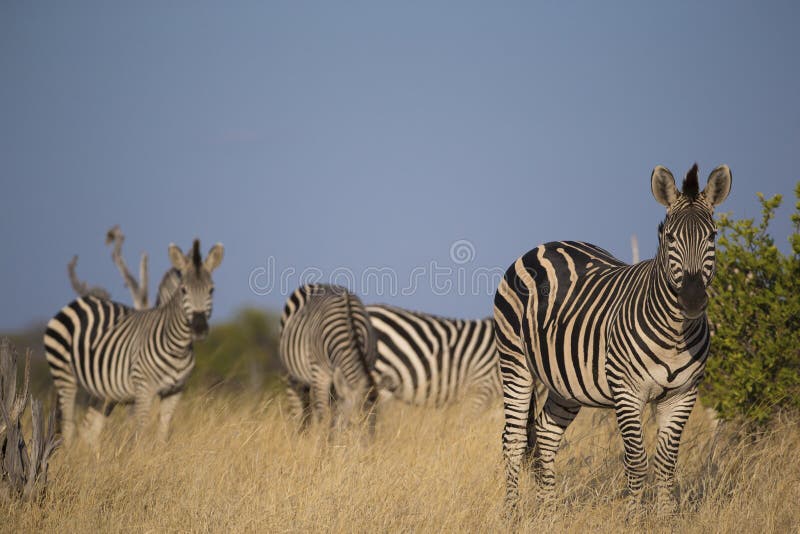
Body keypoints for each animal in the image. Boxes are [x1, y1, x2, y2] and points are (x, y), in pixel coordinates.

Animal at [44, 239, 224, 445]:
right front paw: (141, 453)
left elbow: (163, 431)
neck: (177, 347)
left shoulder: (175, 391)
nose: (200, 328)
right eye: (184, 290)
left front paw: (160, 452)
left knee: (89, 429)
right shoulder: (143, 389)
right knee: (68, 425)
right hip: (64, 374)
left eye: (211, 290)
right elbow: (140, 430)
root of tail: (75, 303)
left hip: (101, 390)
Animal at [279, 284, 378, 434]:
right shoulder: (320, 373)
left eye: (373, 426)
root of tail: (317, 284)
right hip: (293, 376)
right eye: (352, 424)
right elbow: (322, 415)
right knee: (300, 409)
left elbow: (334, 415)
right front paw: (321, 440)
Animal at [493, 163, 731, 515]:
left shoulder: (683, 394)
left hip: (565, 383)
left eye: (712, 236)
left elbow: (666, 463)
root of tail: (546, 245)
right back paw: (511, 512)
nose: (691, 300)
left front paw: (666, 518)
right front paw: (632, 517)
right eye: (670, 237)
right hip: (515, 362)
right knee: (513, 439)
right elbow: (636, 461)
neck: (676, 334)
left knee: (546, 435)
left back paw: (549, 513)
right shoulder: (627, 391)